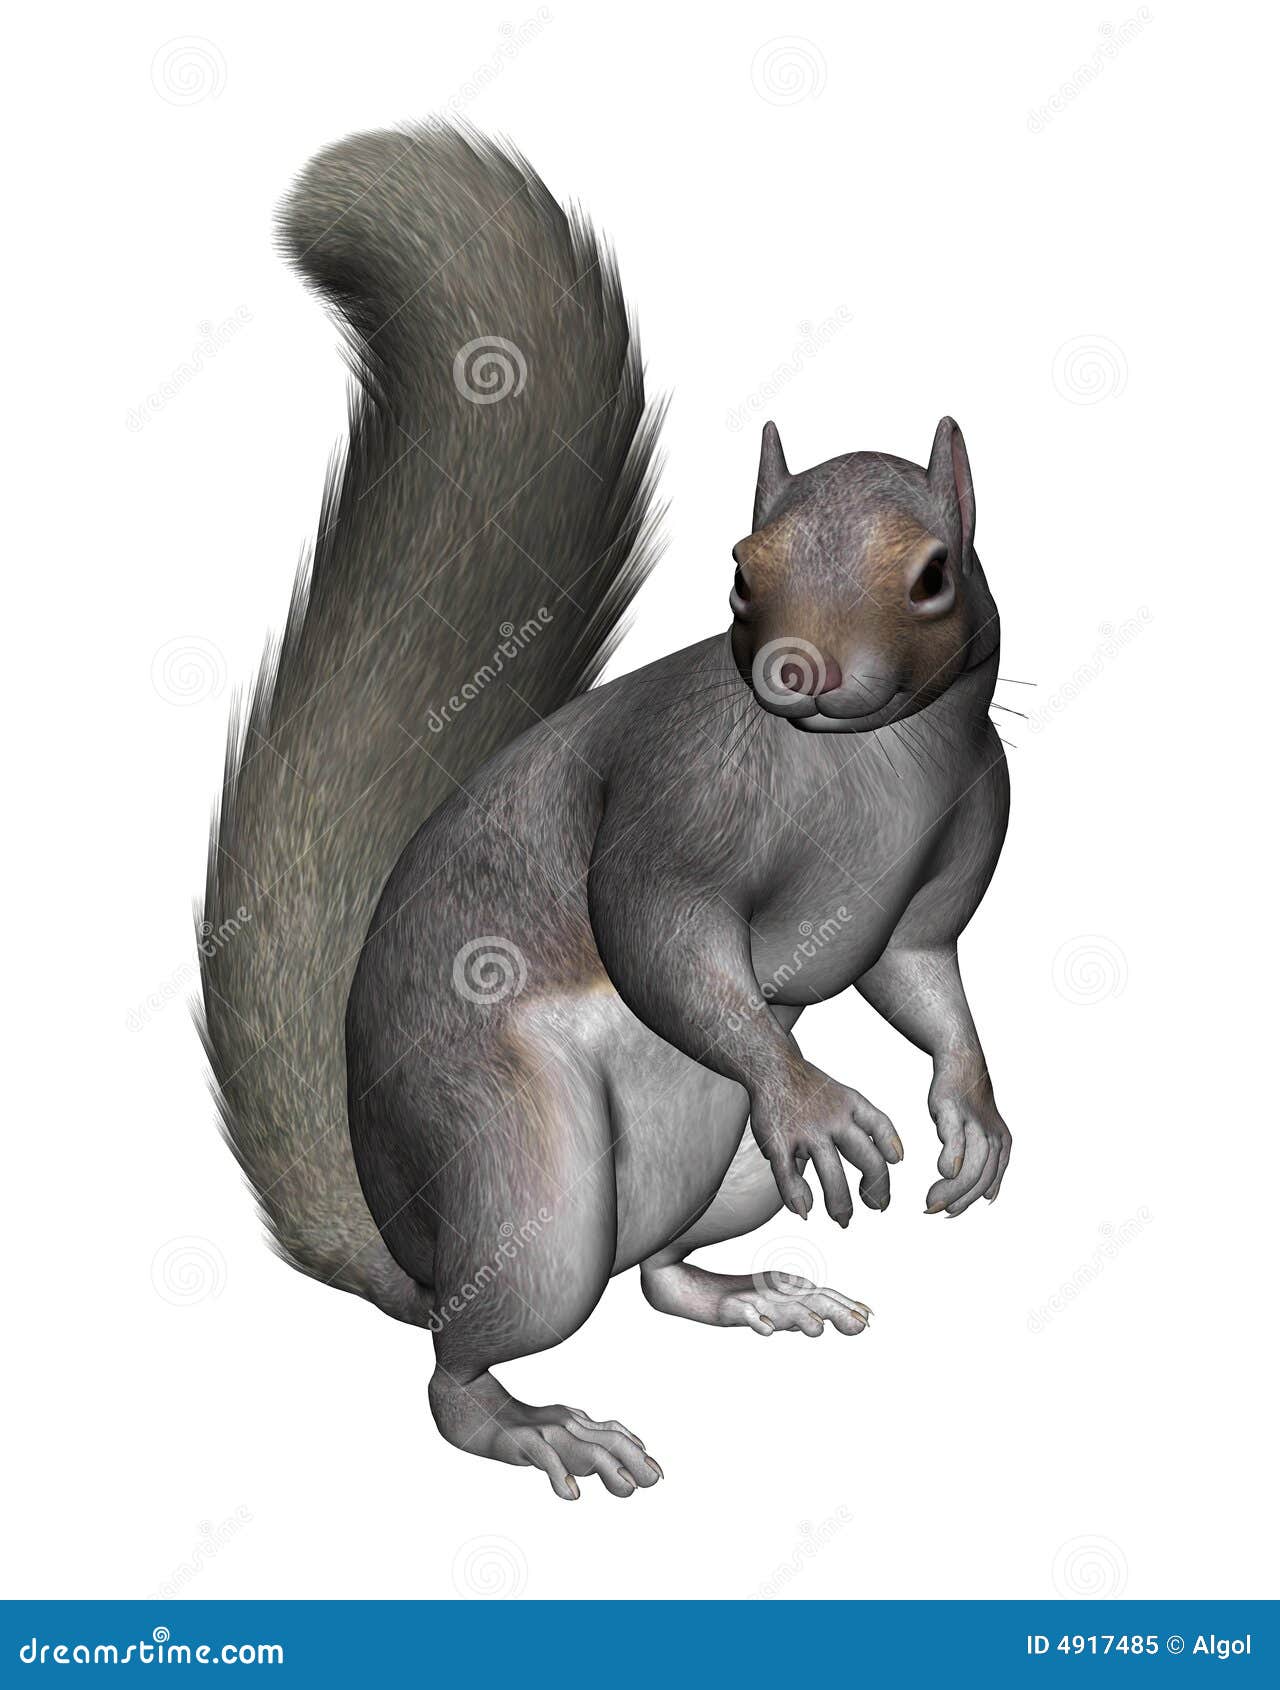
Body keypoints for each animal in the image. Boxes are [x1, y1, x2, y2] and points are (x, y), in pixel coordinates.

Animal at [199, 123, 1011, 1502]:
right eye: (740, 573)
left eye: (933, 574)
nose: (794, 669)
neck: (869, 761)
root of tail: (413, 1242)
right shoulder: (670, 792)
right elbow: (654, 927)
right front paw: (812, 1098)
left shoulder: (958, 840)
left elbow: (920, 970)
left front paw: (972, 1113)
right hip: (528, 1187)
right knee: (461, 1364)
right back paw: (533, 1423)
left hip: (721, 1170)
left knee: (661, 1273)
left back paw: (753, 1290)